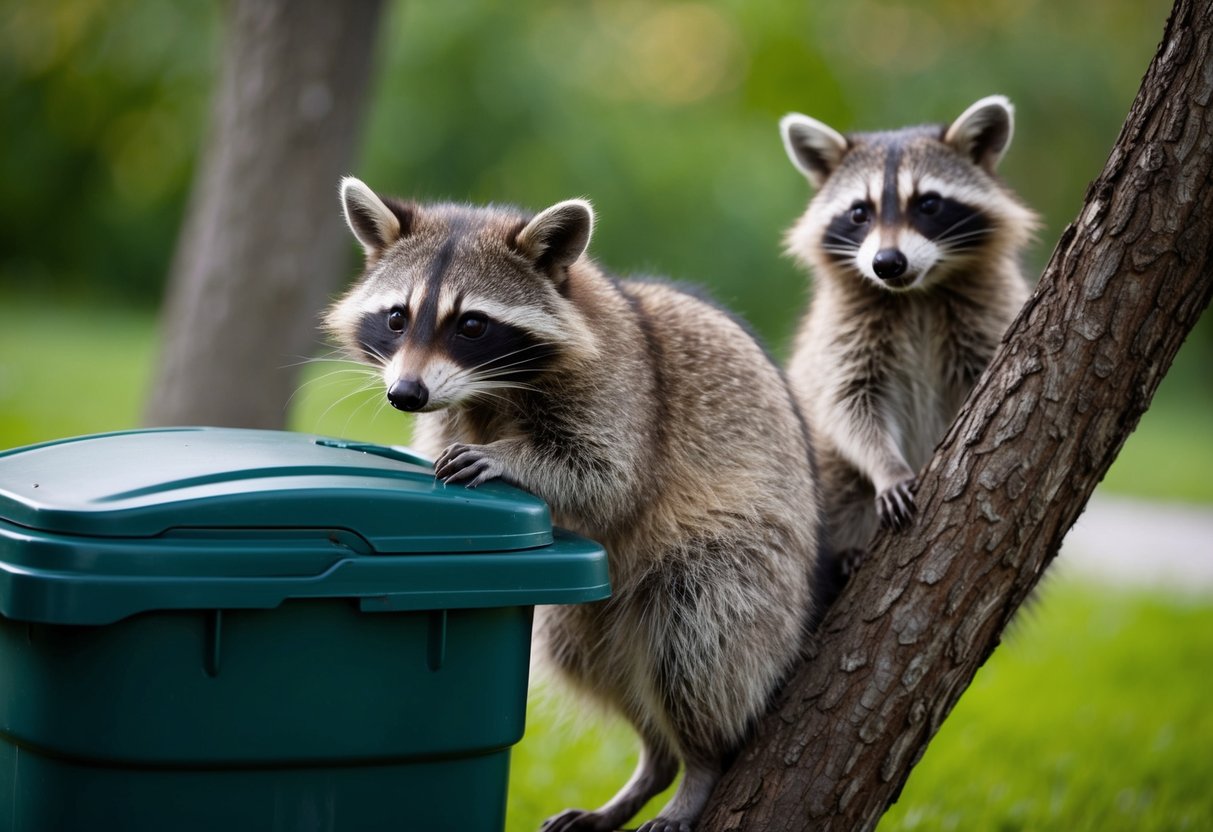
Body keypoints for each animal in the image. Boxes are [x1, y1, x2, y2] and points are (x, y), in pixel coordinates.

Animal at [325, 179, 826, 832]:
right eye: (396, 317)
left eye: (472, 324)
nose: (404, 395)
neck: (489, 391)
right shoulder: (451, 410)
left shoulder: (621, 386)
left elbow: (608, 478)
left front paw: (512, 458)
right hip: (585, 613)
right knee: (586, 657)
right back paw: (655, 765)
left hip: (750, 566)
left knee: (694, 643)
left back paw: (700, 762)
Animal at [779, 95, 1036, 569]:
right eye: (859, 212)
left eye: (929, 204)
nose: (887, 263)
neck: (915, 293)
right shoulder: (844, 329)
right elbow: (848, 402)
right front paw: (887, 466)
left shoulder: (987, 311)